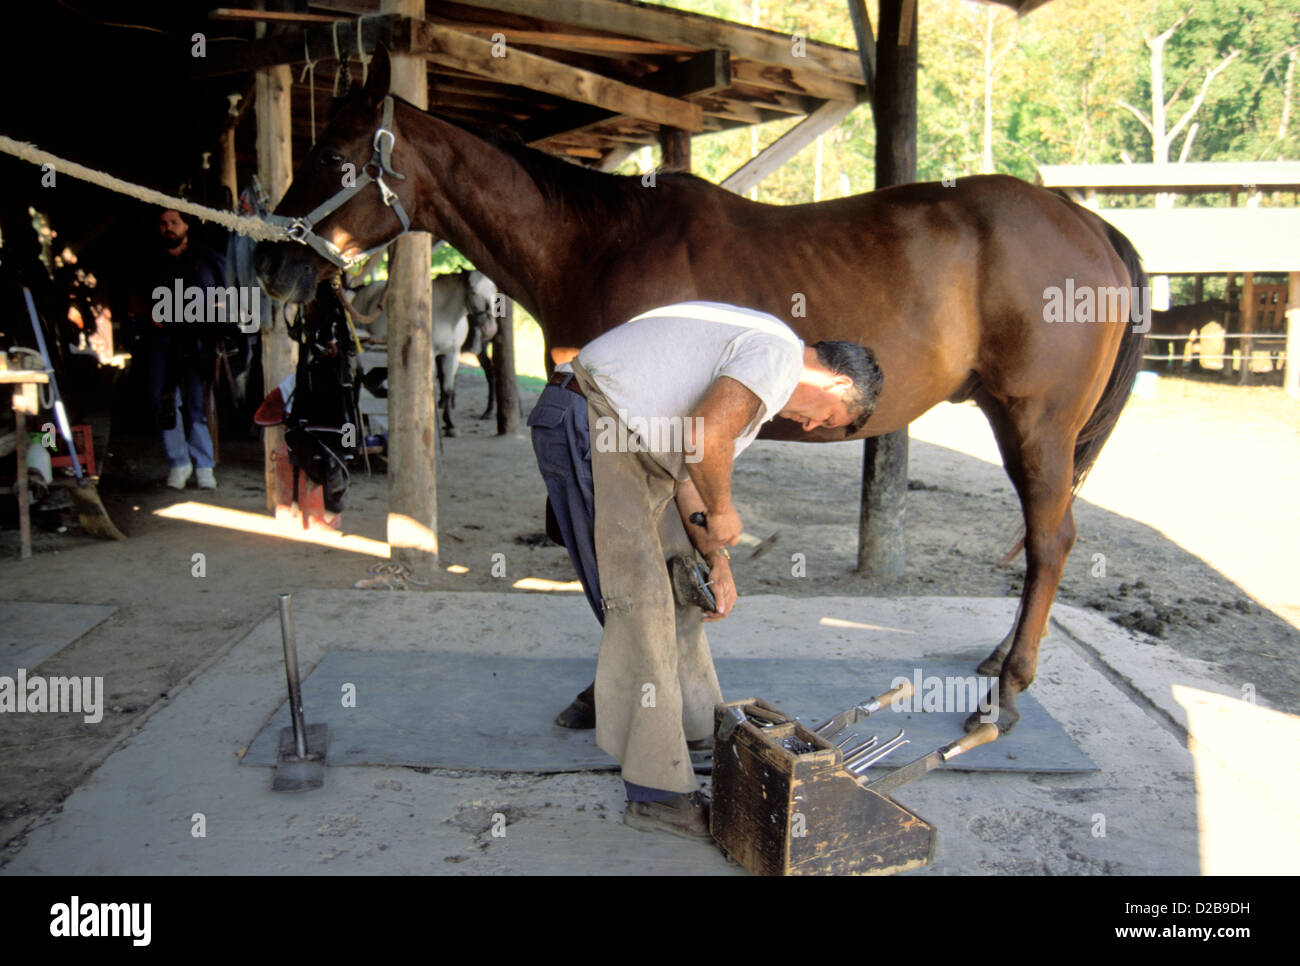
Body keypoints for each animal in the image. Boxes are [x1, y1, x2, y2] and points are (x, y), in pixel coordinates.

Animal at [255, 48, 1146, 735]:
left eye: (331, 156)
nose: (268, 261)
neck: (597, 240)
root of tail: (1087, 222)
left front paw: (609, 692)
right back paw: (996, 663)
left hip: (1035, 423)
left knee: (1051, 542)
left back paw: (1005, 693)